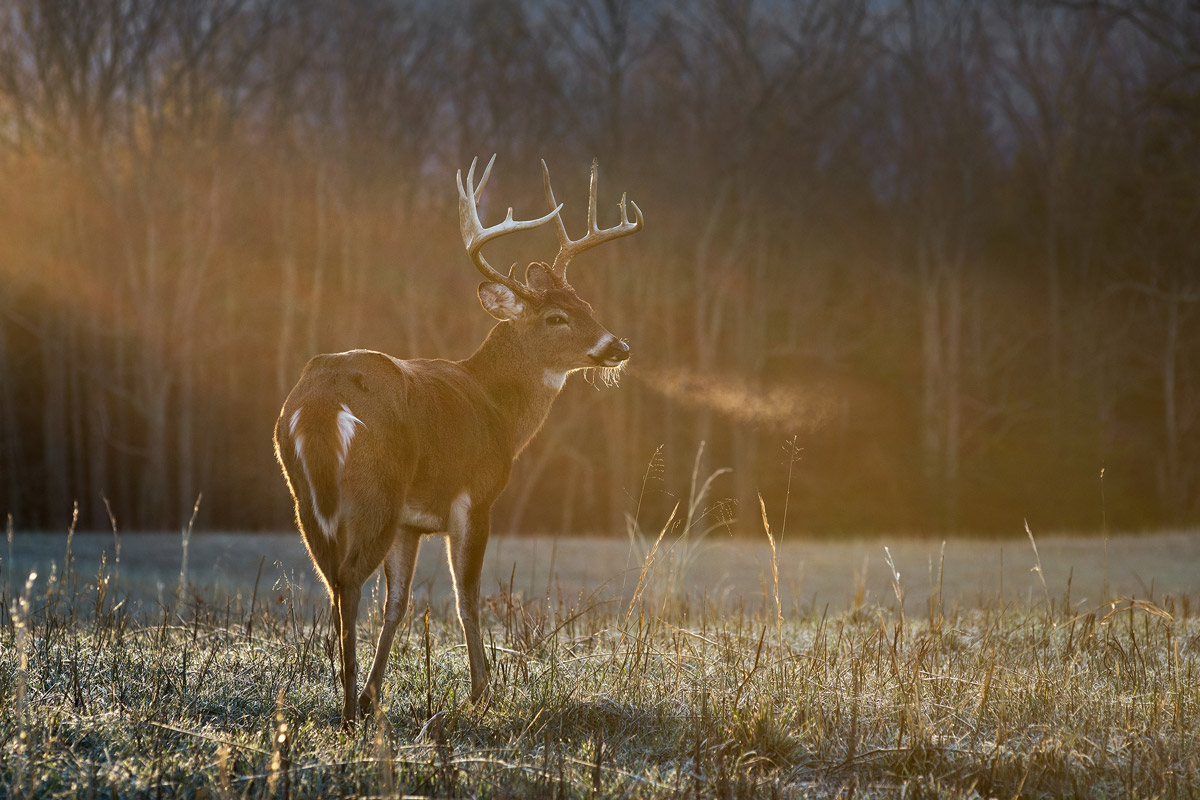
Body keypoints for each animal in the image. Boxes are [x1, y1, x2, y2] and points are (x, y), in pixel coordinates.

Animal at [273, 155, 642, 727]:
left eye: (586, 303)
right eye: (556, 317)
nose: (617, 346)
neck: (497, 409)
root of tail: (318, 406)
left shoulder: (411, 520)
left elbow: (398, 603)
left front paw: (378, 692)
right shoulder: (474, 496)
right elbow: (466, 597)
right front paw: (481, 693)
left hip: (305, 498)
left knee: (333, 583)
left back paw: (352, 698)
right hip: (374, 491)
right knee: (349, 579)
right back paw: (349, 712)